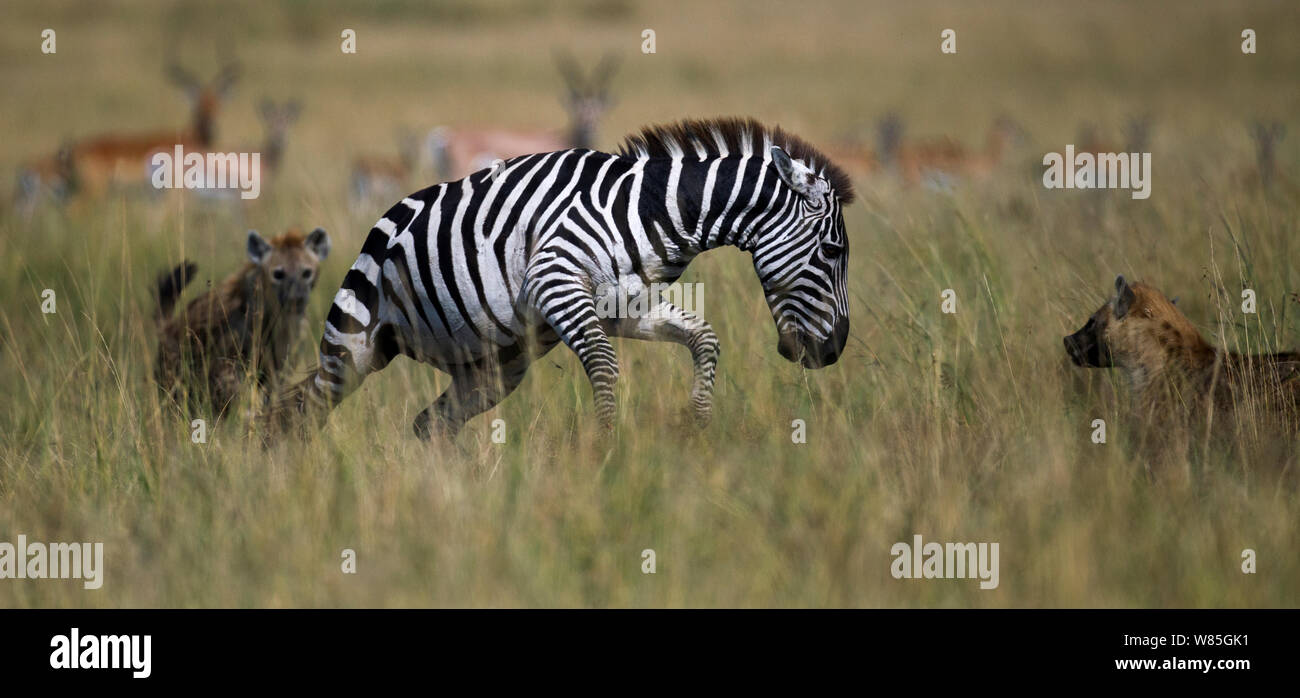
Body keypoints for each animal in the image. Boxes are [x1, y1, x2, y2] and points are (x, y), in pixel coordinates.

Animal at [266, 116, 852, 439]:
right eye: (832, 251)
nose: (833, 353)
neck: (650, 210)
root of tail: (385, 218)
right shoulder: (558, 287)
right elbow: (606, 368)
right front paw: (605, 453)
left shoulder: (624, 306)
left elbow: (704, 339)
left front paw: (698, 427)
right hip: (355, 344)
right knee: (307, 411)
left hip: (492, 368)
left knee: (428, 425)